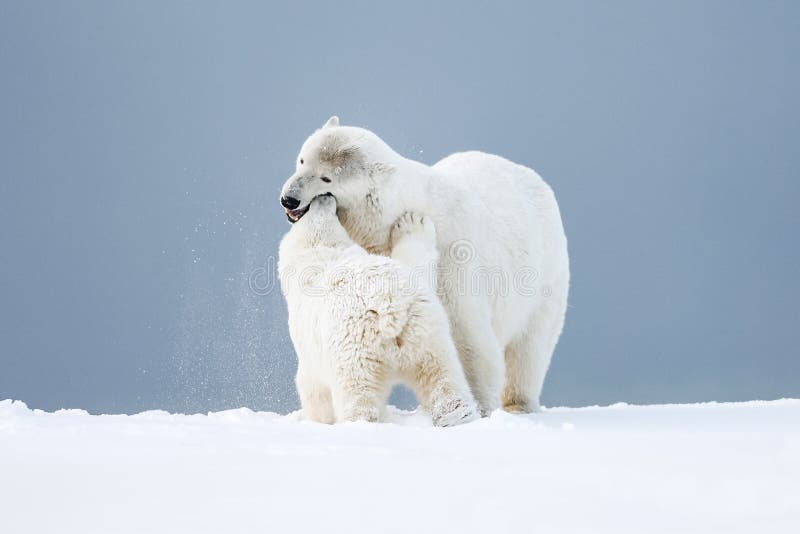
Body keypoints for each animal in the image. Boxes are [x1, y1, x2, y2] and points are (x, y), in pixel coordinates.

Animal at [278, 193, 479, 426]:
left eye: (311, 210)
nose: (324, 196)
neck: (323, 254)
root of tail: (388, 307)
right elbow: (417, 266)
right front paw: (413, 223)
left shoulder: (310, 347)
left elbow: (312, 388)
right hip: (426, 331)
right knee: (443, 379)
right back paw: (458, 416)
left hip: (354, 350)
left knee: (359, 395)